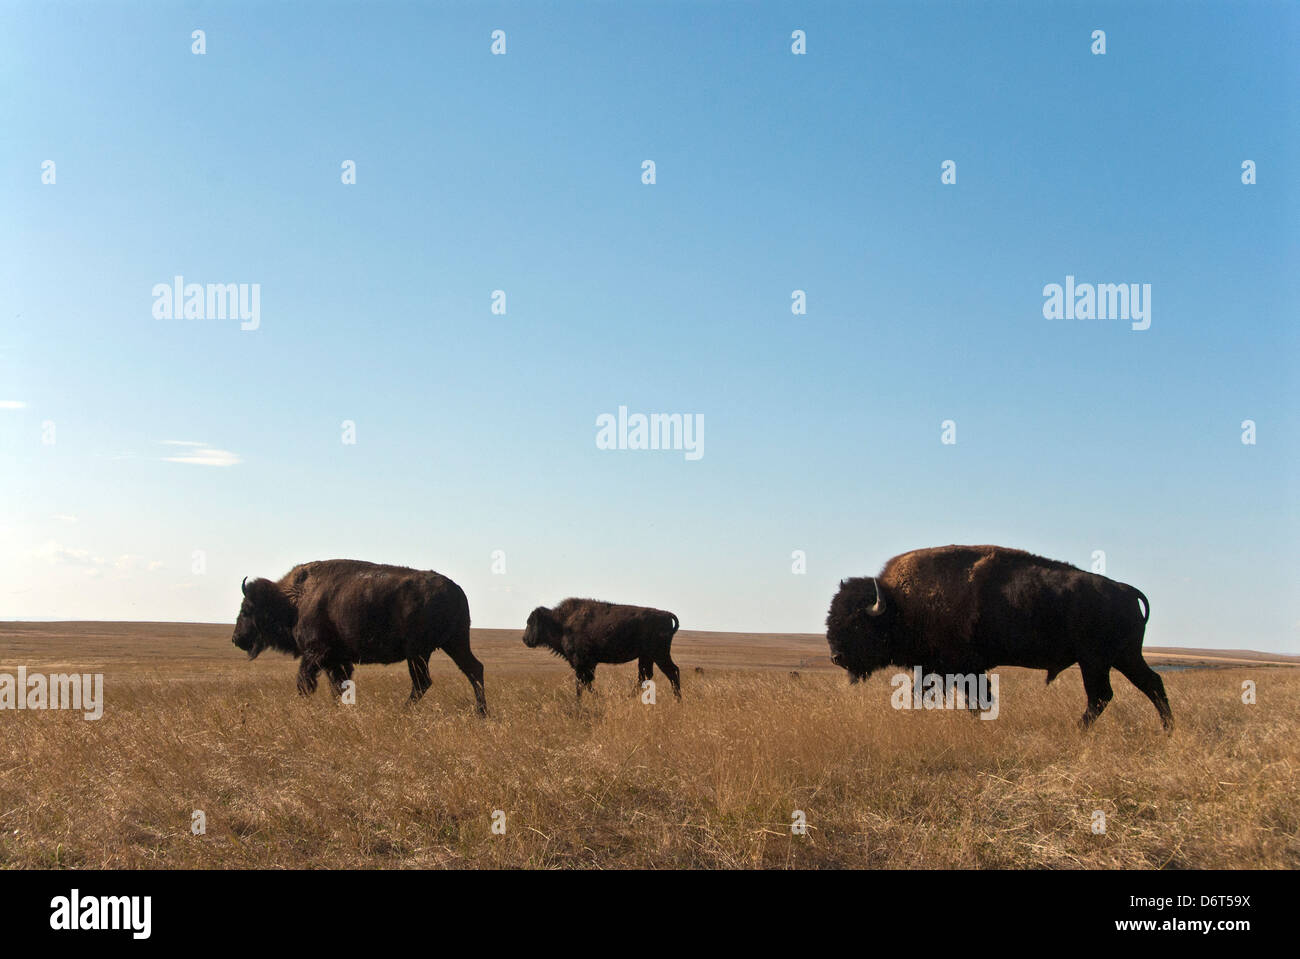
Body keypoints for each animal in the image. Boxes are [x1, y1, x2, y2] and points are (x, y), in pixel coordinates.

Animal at [232, 559, 487, 715]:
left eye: (247, 609)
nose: (236, 638)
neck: (294, 600)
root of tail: (456, 590)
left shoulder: (316, 653)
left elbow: (305, 682)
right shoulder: (336, 660)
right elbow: (338, 686)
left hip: (419, 652)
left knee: (423, 681)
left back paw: (403, 711)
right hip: (454, 643)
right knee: (473, 669)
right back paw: (481, 713)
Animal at [523, 599, 682, 700]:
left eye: (530, 622)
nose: (525, 639)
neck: (561, 623)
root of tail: (666, 614)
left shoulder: (582, 664)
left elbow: (581, 684)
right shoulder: (588, 665)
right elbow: (586, 683)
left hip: (659, 654)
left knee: (671, 672)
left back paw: (677, 700)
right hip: (647, 656)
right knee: (645, 676)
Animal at [826, 545, 1172, 730]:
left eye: (856, 624)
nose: (836, 657)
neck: (900, 604)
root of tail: (1126, 590)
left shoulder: (964, 669)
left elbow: (977, 699)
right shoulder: (937, 670)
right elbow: (925, 695)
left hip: (1096, 661)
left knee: (1101, 696)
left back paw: (1077, 731)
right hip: (1124, 657)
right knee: (1151, 684)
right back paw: (1167, 731)